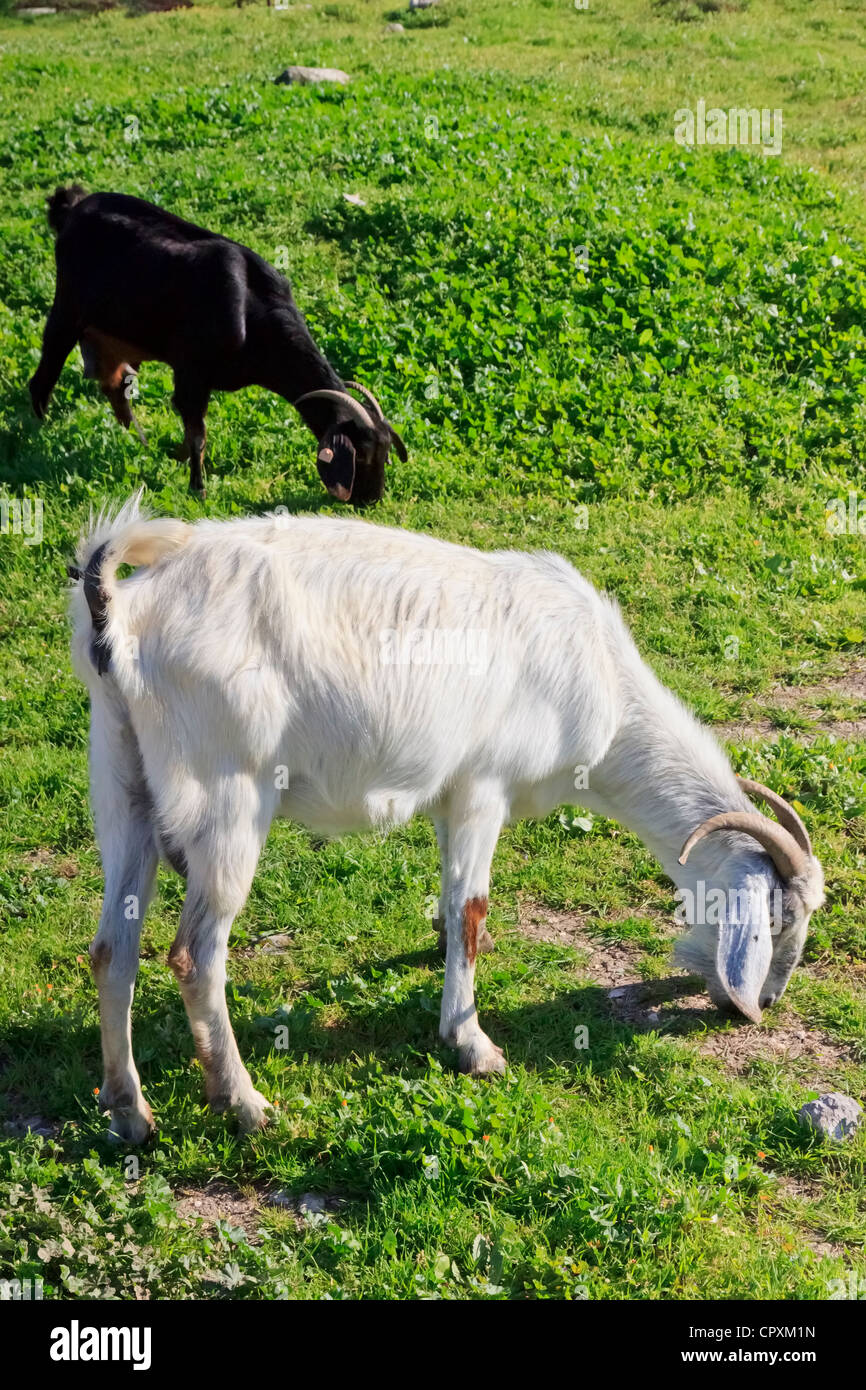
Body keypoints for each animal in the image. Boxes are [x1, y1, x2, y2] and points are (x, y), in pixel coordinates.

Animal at [29, 186, 406, 501]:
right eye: (362, 455)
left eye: (387, 453)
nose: (371, 499)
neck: (255, 315)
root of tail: (72, 206)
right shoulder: (191, 371)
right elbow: (198, 432)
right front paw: (198, 487)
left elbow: (191, 430)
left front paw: (175, 458)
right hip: (67, 309)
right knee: (45, 371)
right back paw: (39, 430)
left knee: (115, 384)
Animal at [70, 498, 825, 1142]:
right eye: (781, 918)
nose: (765, 1001)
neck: (602, 681)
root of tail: (121, 615)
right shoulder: (484, 787)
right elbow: (473, 905)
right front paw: (472, 1044)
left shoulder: (448, 793)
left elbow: (450, 896)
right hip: (228, 792)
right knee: (196, 953)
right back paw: (242, 1102)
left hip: (121, 777)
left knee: (112, 947)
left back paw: (128, 1110)